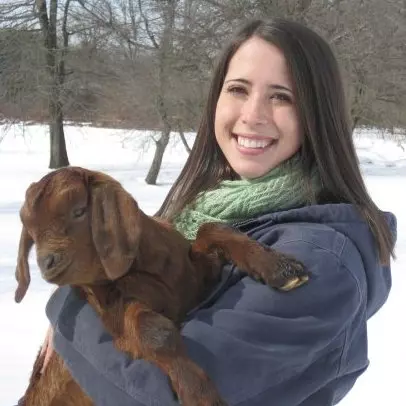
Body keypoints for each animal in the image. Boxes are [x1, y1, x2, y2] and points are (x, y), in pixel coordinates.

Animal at [14, 167, 310, 406]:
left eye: (78, 211)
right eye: (31, 232)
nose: (47, 263)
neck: (145, 270)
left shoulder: (196, 279)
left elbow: (211, 230)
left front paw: (280, 268)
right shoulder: (112, 315)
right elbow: (152, 330)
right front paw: (199, 394)